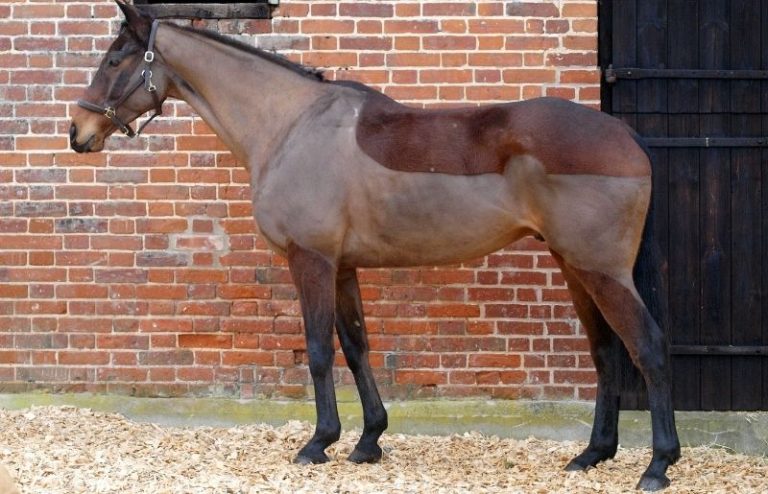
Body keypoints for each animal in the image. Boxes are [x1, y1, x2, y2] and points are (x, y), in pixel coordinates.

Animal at [69, 2, 680, 490]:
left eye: (116, 60)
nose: (78, 131)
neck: (289, 125)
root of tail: (625, 137)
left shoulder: (311, 260)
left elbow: (319, 349)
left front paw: (318, 443)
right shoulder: (343, 268)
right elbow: (357, 346)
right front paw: (368, 441)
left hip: (601, 270)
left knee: (647, 347)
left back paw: (658, 465)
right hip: (573, 266)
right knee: (605, 352)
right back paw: (593, 454)